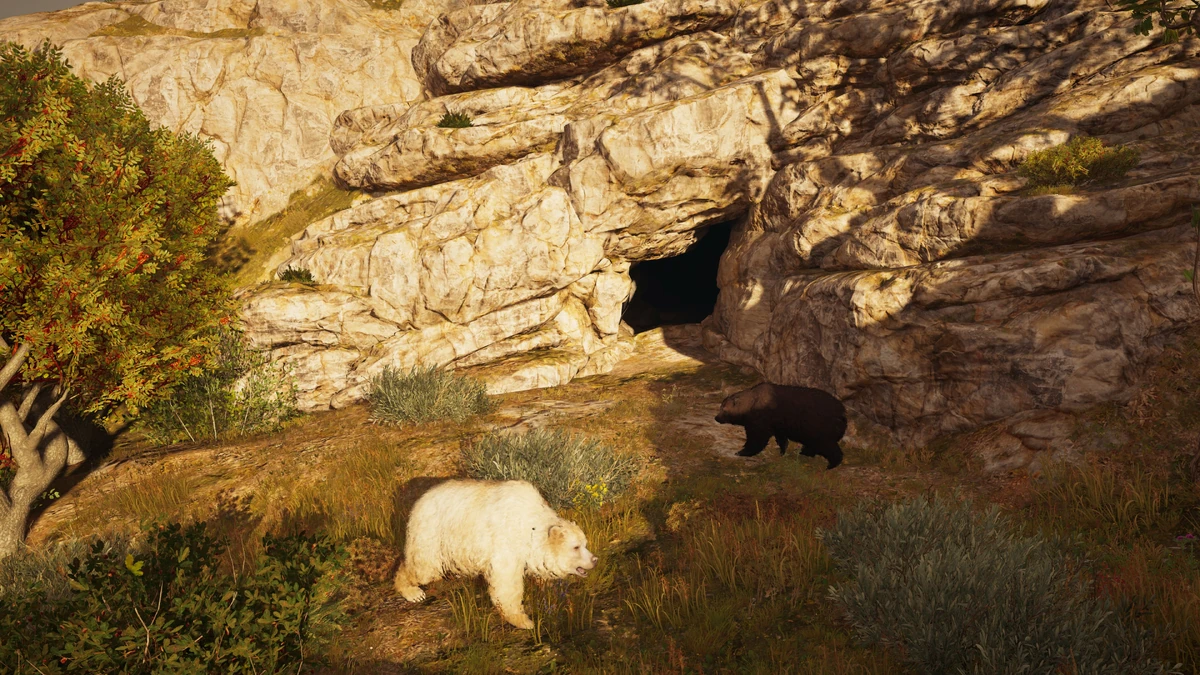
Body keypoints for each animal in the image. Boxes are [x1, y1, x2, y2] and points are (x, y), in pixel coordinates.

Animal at [393, 479, 598, 629]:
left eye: (585, 544)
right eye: (576, 547)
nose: (594, 560)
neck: (530, 525)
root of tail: (419, 500)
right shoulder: (506, 542)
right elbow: (506, 583)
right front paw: (525, 621)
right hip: (433, 530)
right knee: (424, 567)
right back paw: (413, 592)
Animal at [715, 382, 847, 469]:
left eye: (723, 409)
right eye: (720, 407)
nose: (716, 417)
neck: (753, 402)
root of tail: (842, 414)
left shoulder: (759, 423)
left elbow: (756, 442)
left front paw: (742, 452)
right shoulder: (777, 427)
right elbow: (782, 440)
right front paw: (782, 451)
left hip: (822, 433)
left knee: (831, 449)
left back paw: (831, 464)